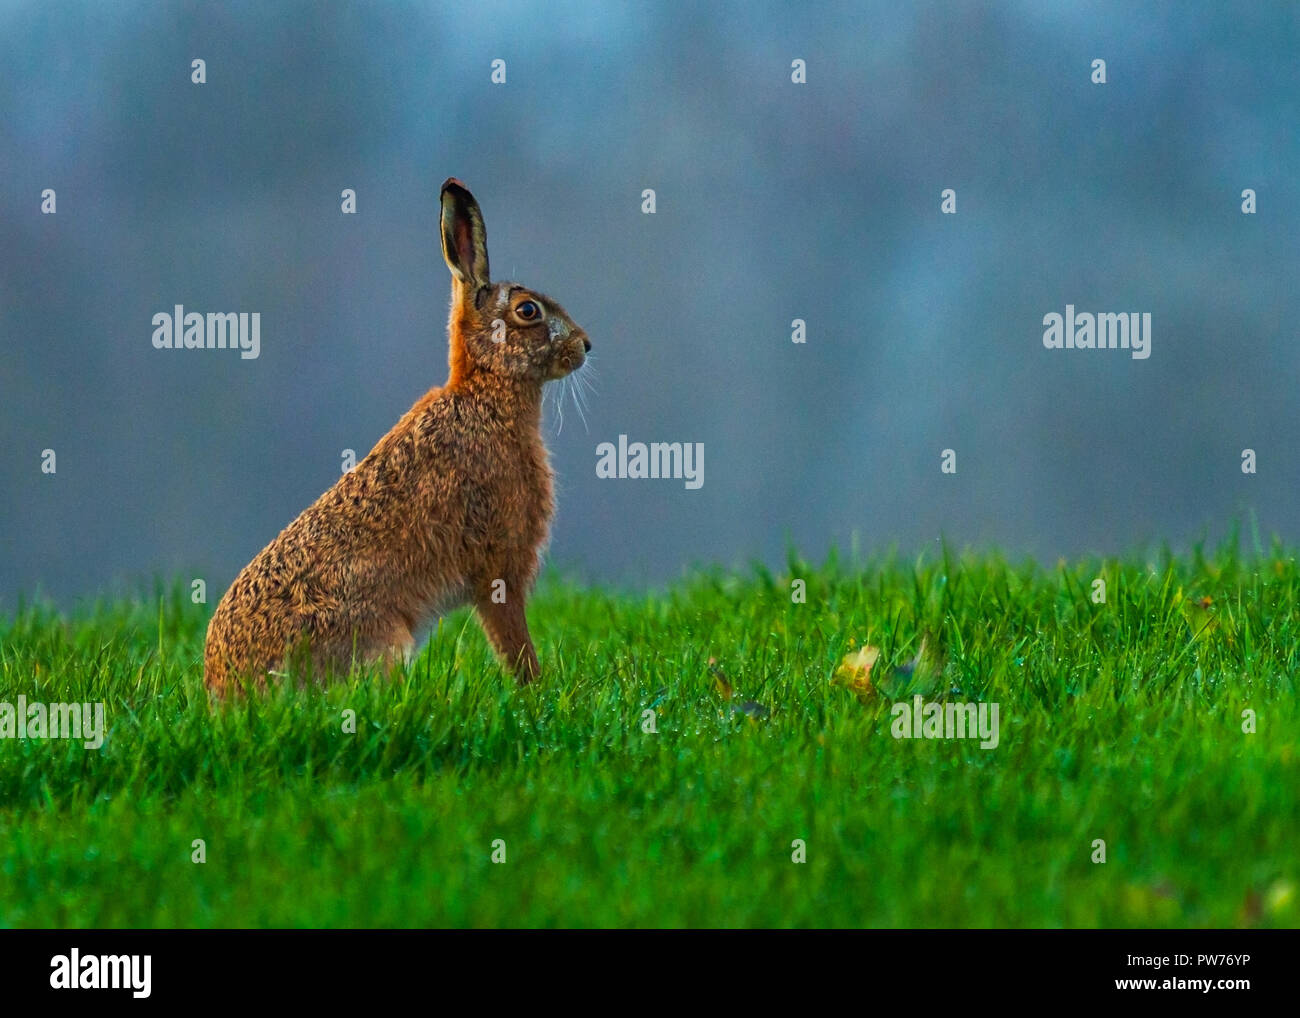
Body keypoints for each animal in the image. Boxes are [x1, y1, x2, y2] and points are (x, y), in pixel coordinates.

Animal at [203, 178, 590, 695]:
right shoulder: (498, 563)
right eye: (528, 311)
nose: (585, 345)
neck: (485, 392)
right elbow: (512, 639)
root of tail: (226, 688)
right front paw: (535, 688)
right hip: (384, 637)